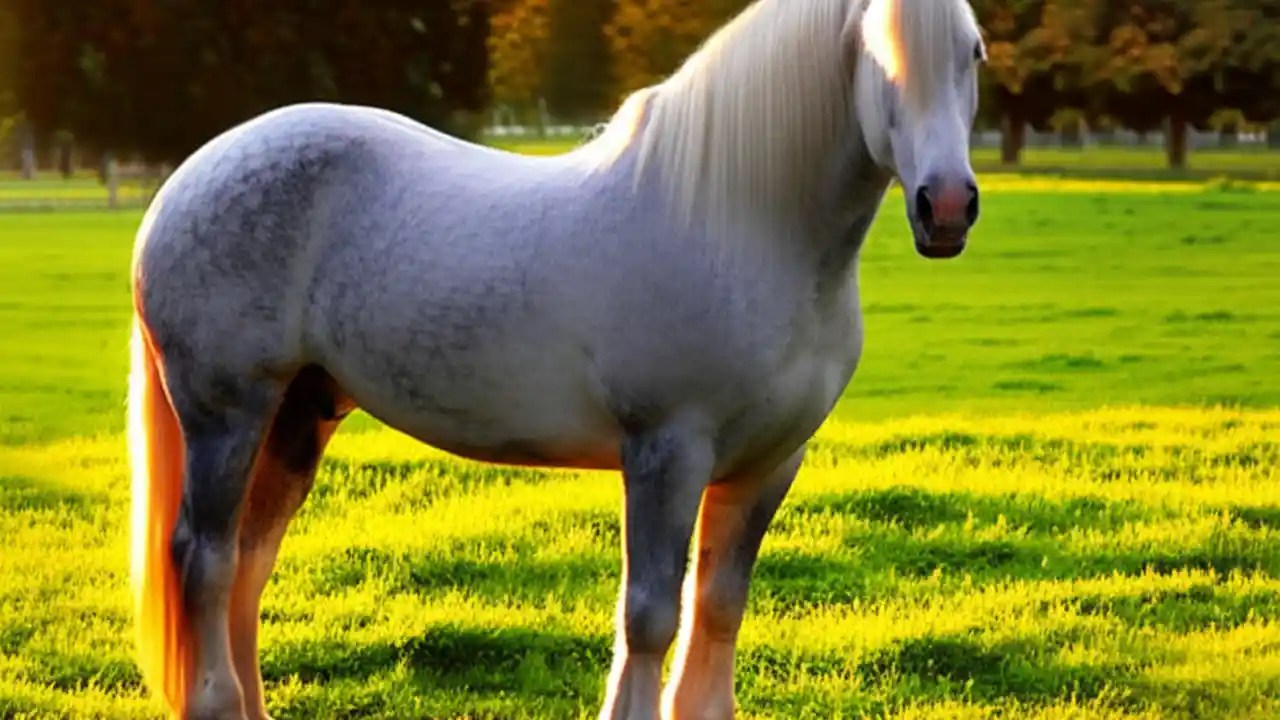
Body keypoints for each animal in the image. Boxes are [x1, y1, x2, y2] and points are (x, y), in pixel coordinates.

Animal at [127, 0, 985, 717]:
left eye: (972, 51)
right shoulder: (668, 451)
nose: (945, 207)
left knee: (246, 563)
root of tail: (188, 179)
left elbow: (718, 606)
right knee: (204, 559)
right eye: (882, 55)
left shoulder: (769, 463)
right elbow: (650, 615)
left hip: (299, 412)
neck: (739, 223)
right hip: (227, 413)